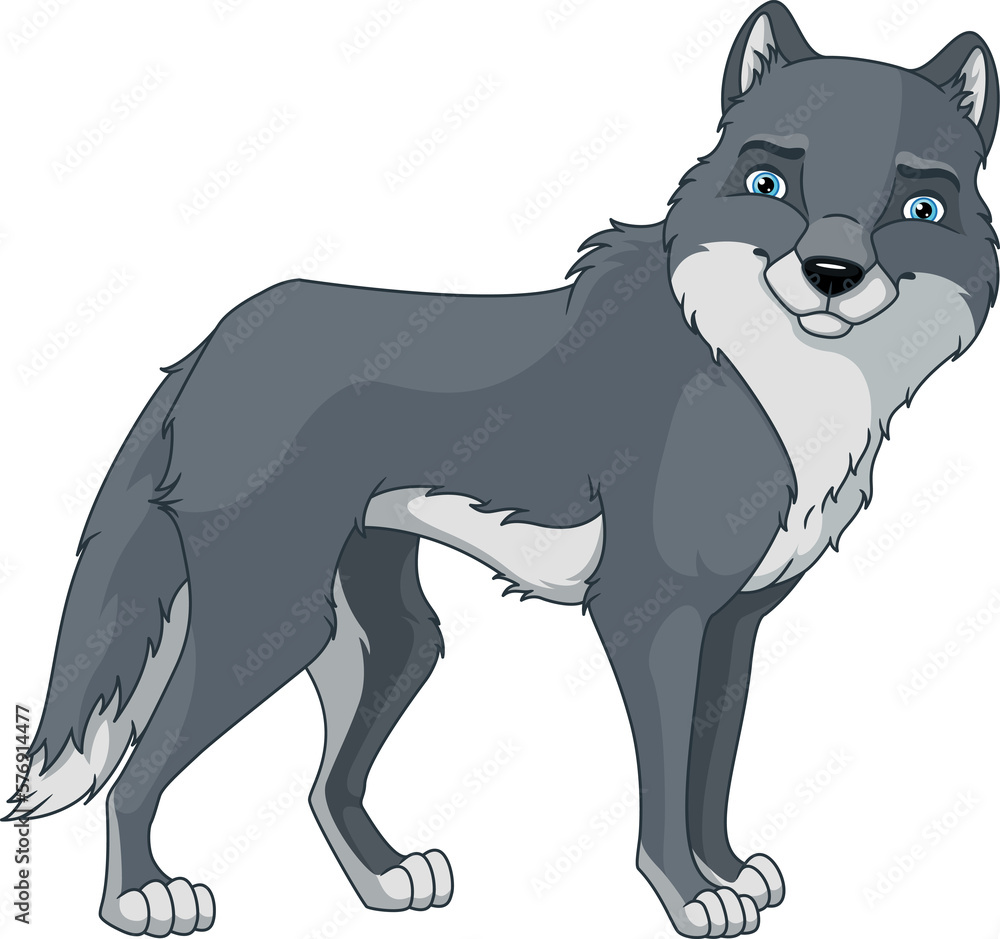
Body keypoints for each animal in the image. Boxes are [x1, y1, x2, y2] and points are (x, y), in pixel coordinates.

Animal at [6, 4, 997, 936]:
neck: (765, 371)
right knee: (139, 772)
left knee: (324, 785)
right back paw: (145, 897)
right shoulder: (650, 614)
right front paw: (690, 896)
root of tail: (218, 335)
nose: (832, 273)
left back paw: (386, 879)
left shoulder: (735, 625)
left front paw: (728, 872)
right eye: (770, 184)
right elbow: (666, 782)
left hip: (392, 639)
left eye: (918, 207)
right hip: (270, 621)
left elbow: (711, 771)